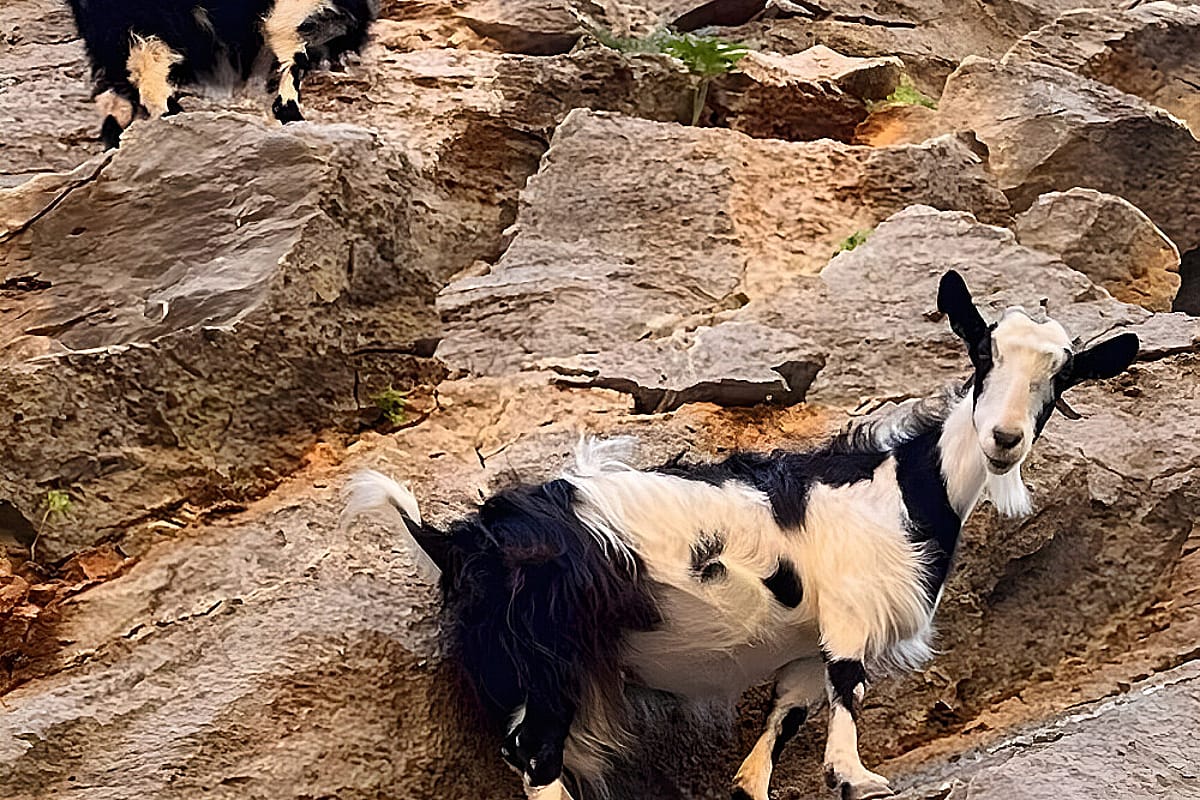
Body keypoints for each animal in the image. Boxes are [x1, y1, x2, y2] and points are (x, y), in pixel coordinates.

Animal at [345, 271, 1140, 800]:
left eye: (1062, 377)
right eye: (981, 357)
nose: (1005, 440)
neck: (902, 490)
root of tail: (458, 539)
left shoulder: (807, 643)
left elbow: (786, 713)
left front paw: (759, 783)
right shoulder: (850, 612)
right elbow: (848, 688)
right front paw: (857, 776)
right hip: (547, 658)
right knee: (537, 760)